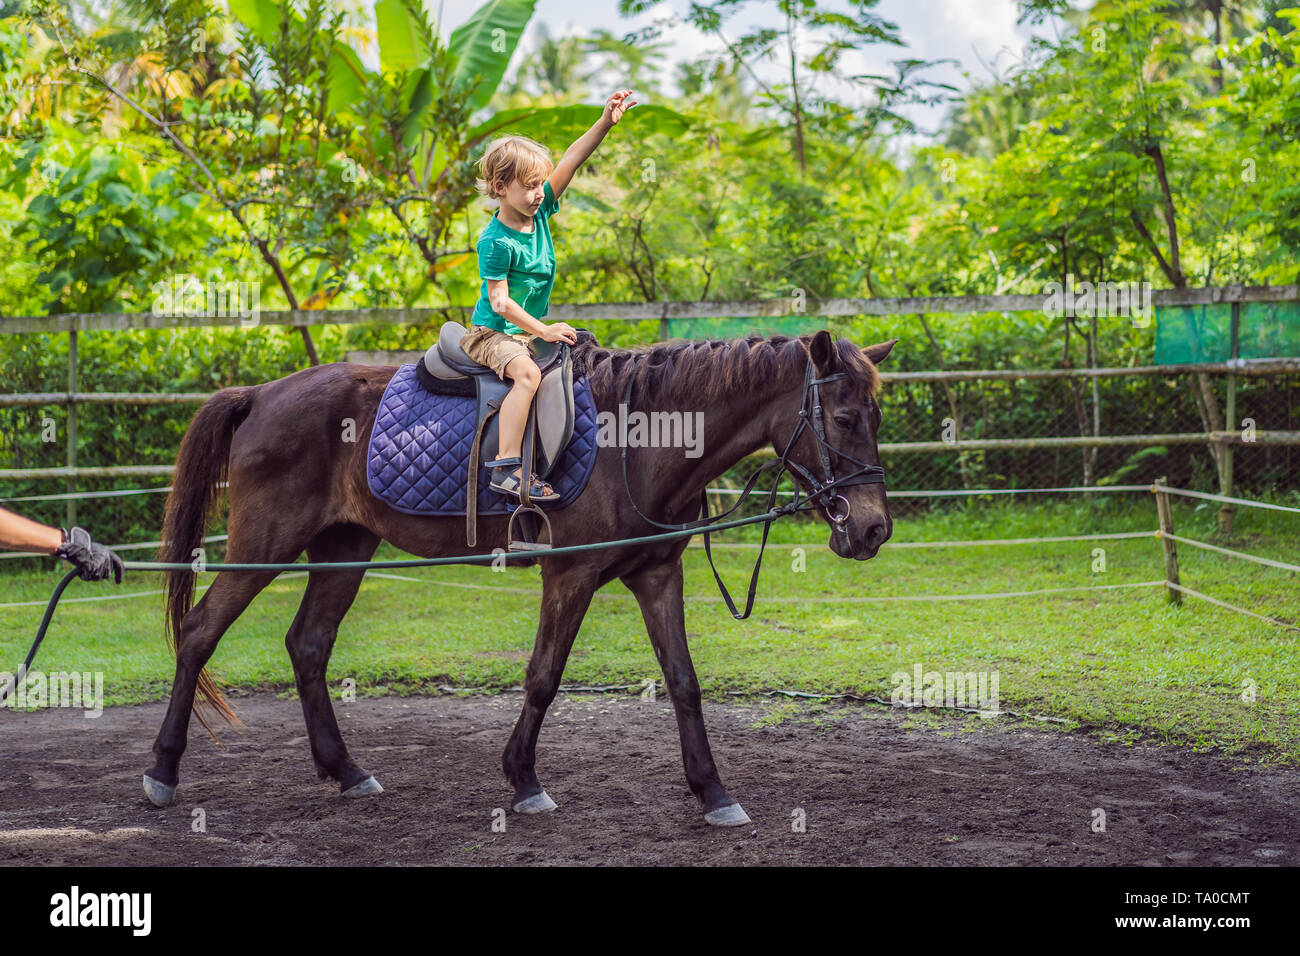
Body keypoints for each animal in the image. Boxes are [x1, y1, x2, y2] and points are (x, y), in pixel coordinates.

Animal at [143, 329, 896, 827]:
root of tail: (262, 394)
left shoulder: (657, 575)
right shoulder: (570, 577)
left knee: (308, 643)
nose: (873, 530)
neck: (637, 439)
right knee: (200, 631)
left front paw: (713, 792)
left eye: (876, 416)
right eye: (845, 418)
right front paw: (524, 779)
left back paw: (346, 770)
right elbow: (542, 678)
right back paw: (161, 771)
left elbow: (684, 682)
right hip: (263, 545)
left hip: (343, 548)